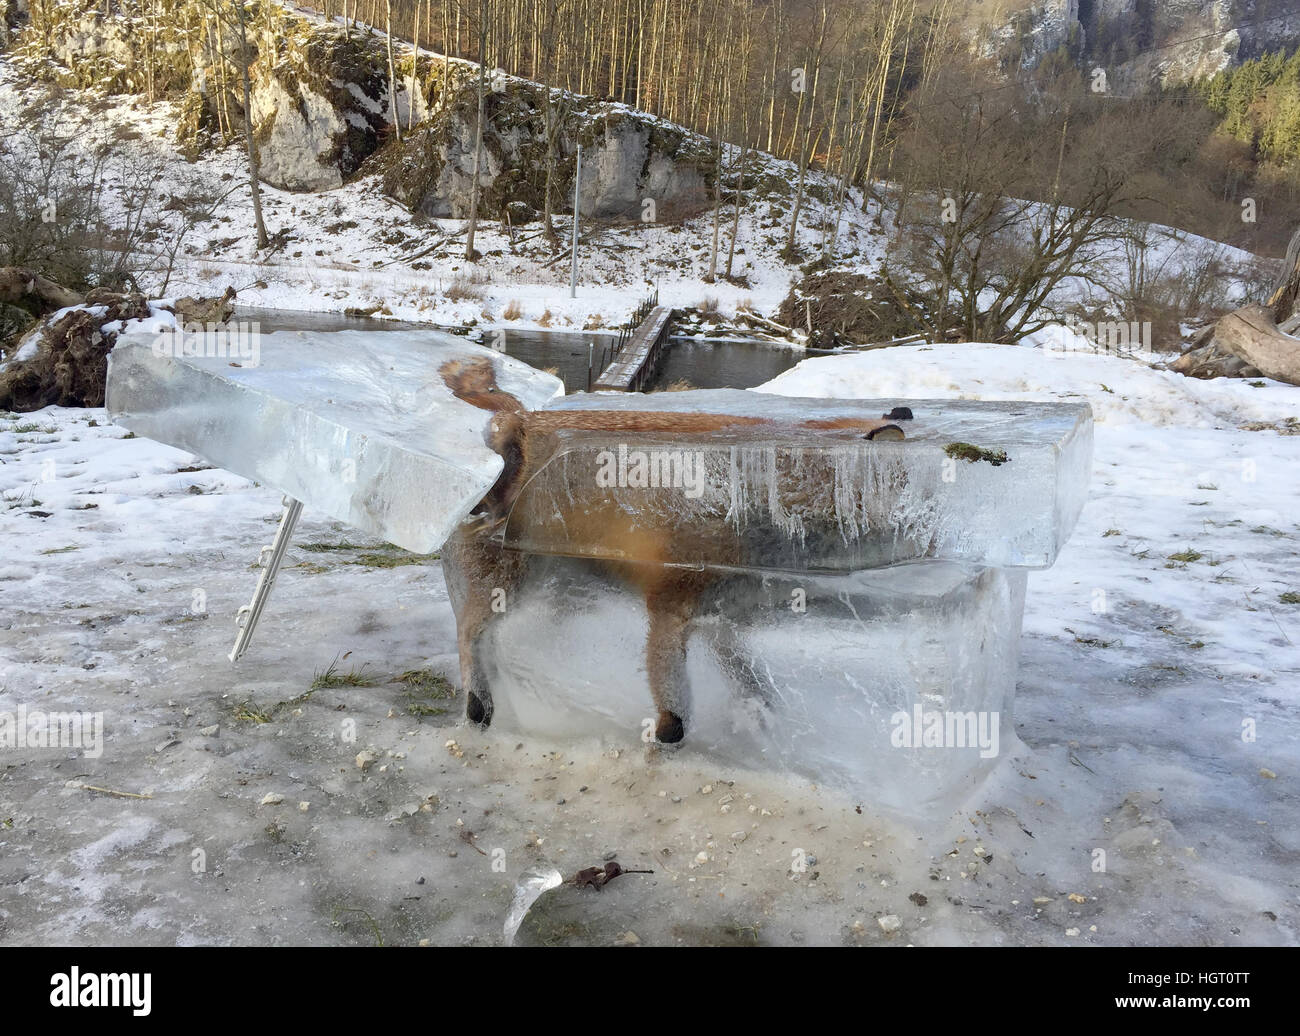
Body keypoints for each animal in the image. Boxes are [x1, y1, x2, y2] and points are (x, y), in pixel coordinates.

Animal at [440, 356, 907, 744]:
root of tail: (520, 419)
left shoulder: (724, 617)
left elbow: (752, 681)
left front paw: (759, 719)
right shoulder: (671, 603)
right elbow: (676, 709)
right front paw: (666, 741)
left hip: (560, 591)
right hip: (510, 584)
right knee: (468, 632)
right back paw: (479, 704)